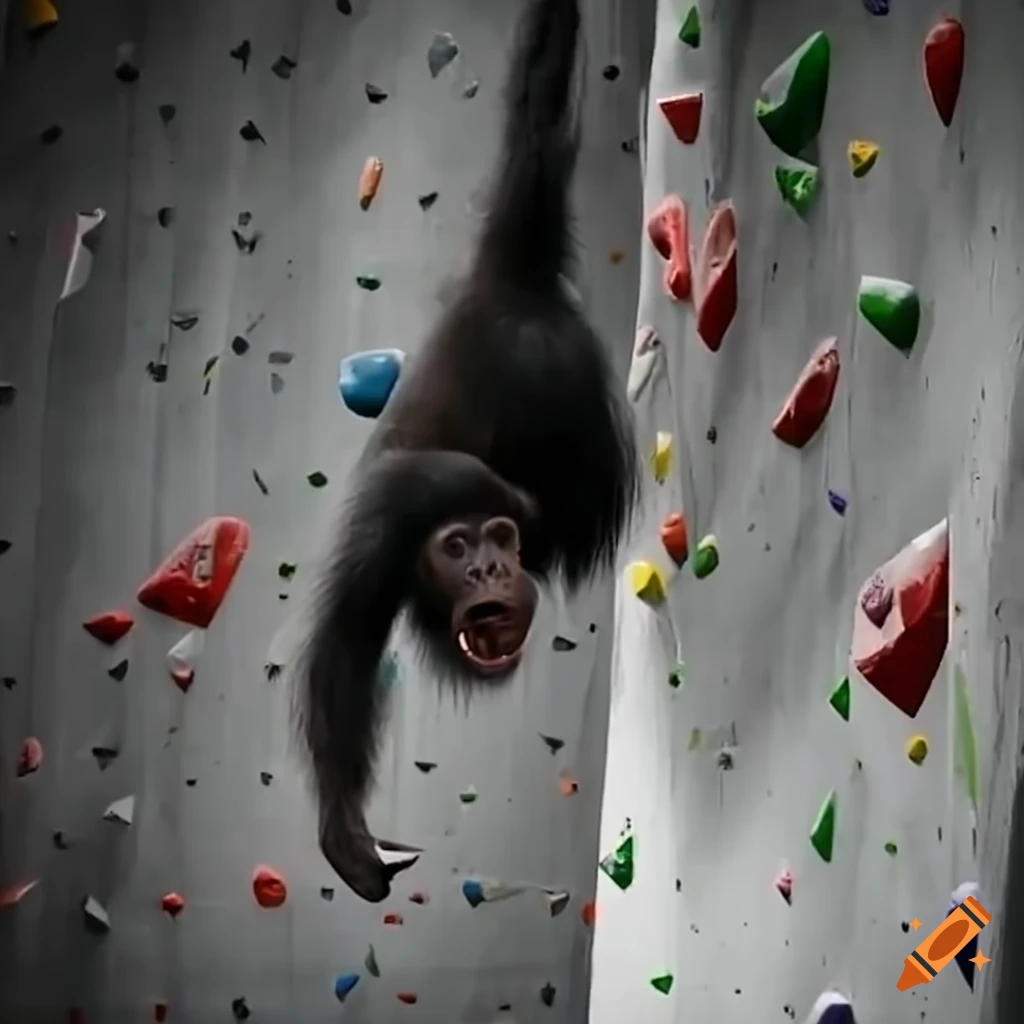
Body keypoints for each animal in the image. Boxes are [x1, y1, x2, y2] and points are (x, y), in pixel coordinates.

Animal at [295, 0, 640, 903]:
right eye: (458, 549)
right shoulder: (381, 539)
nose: (488, 567)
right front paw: (344, 829)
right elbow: (343, 660)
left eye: (500, 539)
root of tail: (504, 283)